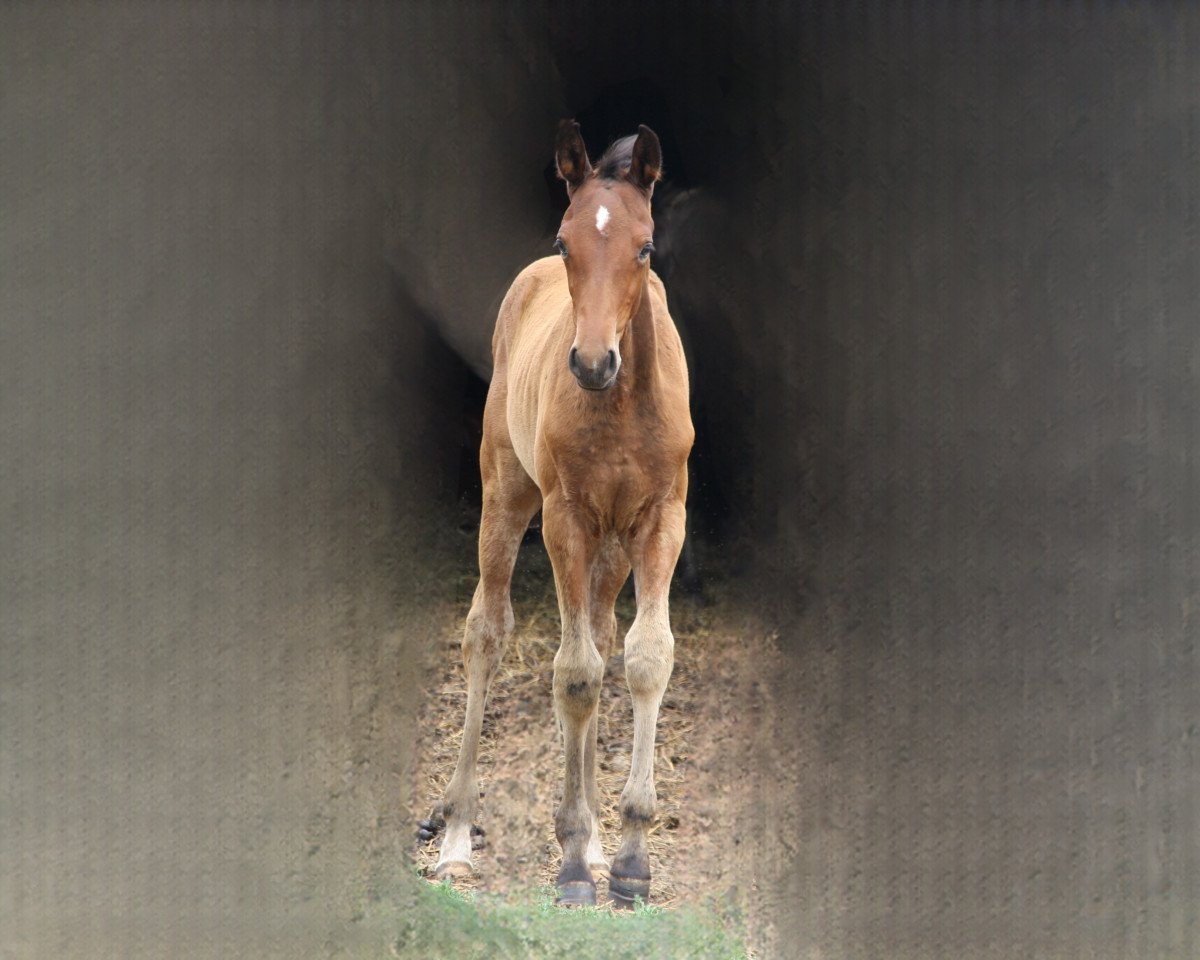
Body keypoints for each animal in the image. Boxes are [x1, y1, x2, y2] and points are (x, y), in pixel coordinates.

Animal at [419, 121, 694, 908]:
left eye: (645, 248)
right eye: (566, 241)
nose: (593, 362)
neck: (623, 405)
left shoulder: (662, 520)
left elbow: (643, 658)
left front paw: (627, 860)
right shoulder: (565, 518)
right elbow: (573, 673)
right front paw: (572, 865)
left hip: (612, 546)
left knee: (600, 635)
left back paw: (597, 843)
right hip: (507, 494)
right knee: (488, 631)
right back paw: (456, 838)